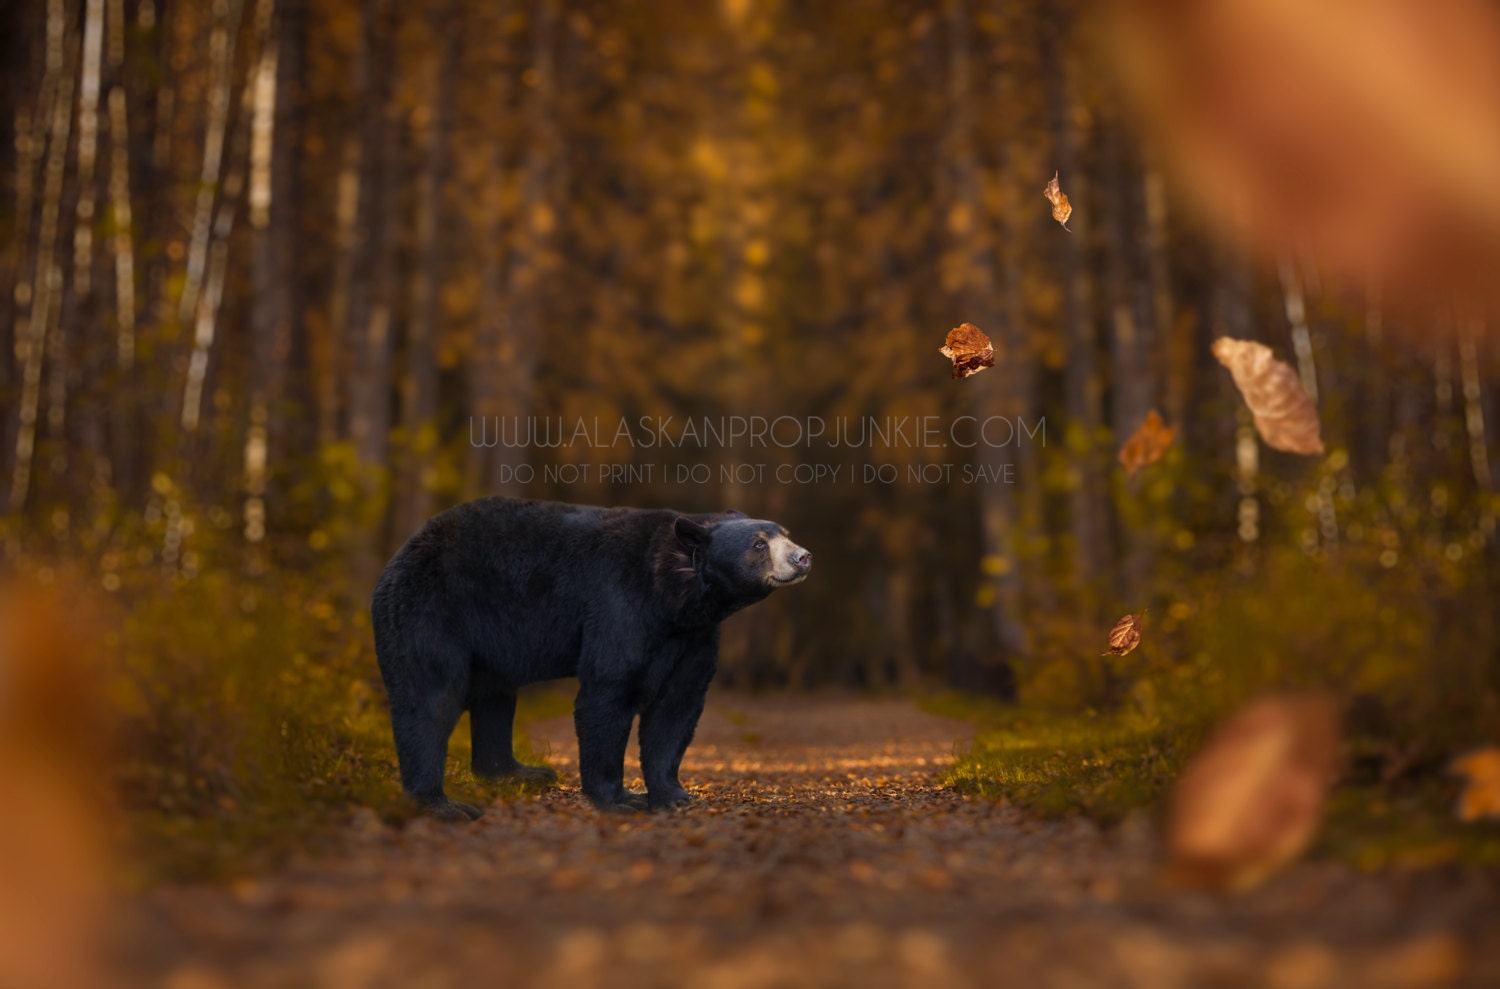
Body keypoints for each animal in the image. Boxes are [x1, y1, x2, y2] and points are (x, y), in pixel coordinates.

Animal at [371, 497, 812, 819]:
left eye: (786, 535)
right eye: (759, 544)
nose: (803, 556)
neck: (676, 597)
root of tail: (397, 557)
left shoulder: (694, 639)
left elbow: (677, 707)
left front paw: (674, 793)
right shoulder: (620, 603)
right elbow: (609, 692)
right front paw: (622, 798)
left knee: (495, 697)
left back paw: (519, 772)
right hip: (434, 609)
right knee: (430, 698)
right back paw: (441, 803)